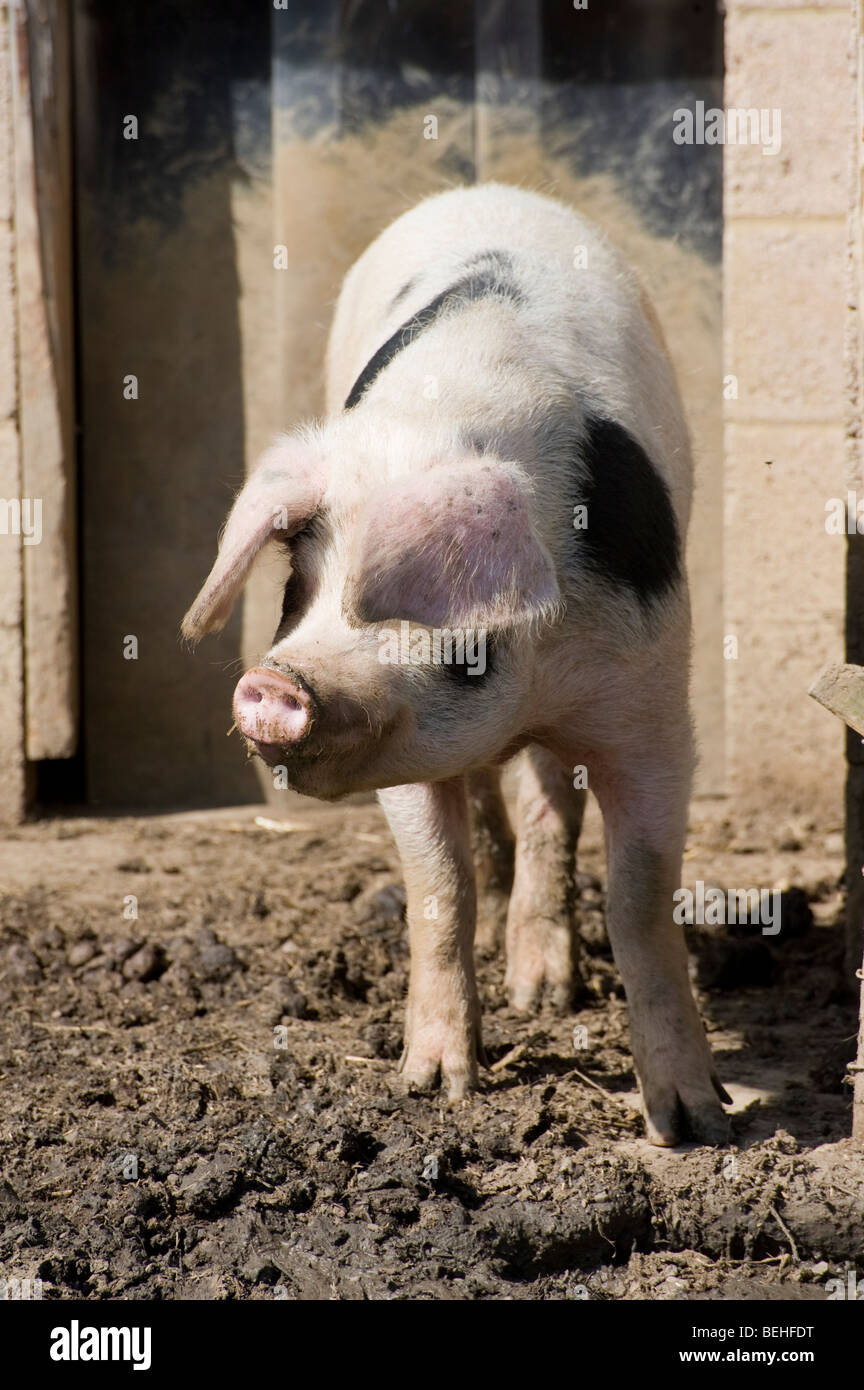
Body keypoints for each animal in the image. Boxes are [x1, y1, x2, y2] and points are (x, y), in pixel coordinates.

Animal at [183, 183, 731, 1146]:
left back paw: (545, 991)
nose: (272, 686)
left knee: (549, 802)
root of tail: (484, 190)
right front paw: (433, 1089)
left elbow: (640, 900)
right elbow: (439, 890)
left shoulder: (655, 709)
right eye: (297, 589)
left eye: (454, 638)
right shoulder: (400, 749)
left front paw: (695, 1124)